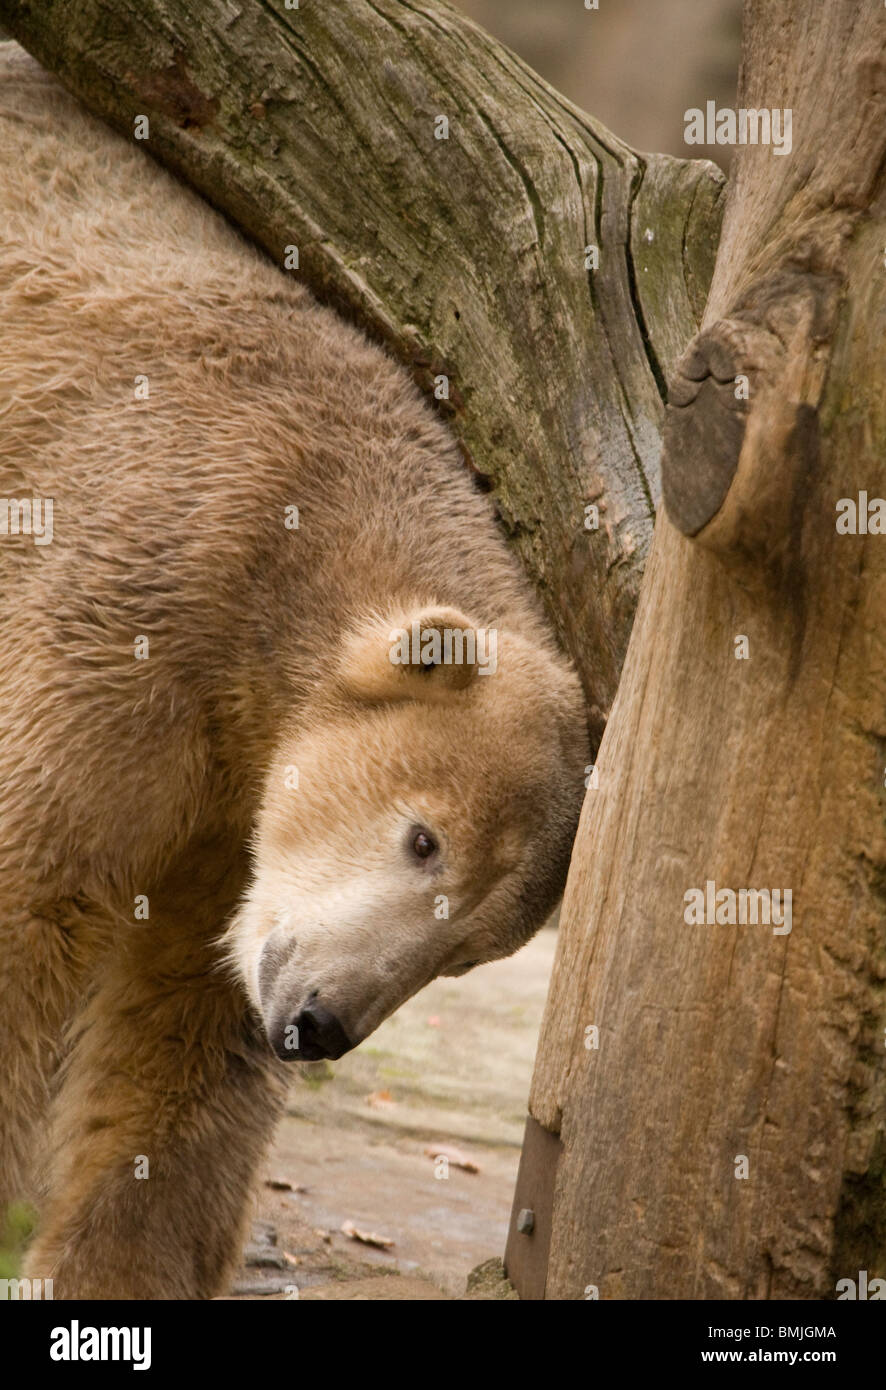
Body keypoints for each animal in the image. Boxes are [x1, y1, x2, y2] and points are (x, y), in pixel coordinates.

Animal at [0, 43, 588, 1299]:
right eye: (423, 839)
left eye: (466, 954)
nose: (319, 1023)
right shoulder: (135, 600)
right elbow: (39, 883)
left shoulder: (240, 812)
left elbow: (191, 1007)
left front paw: (120, 1266)